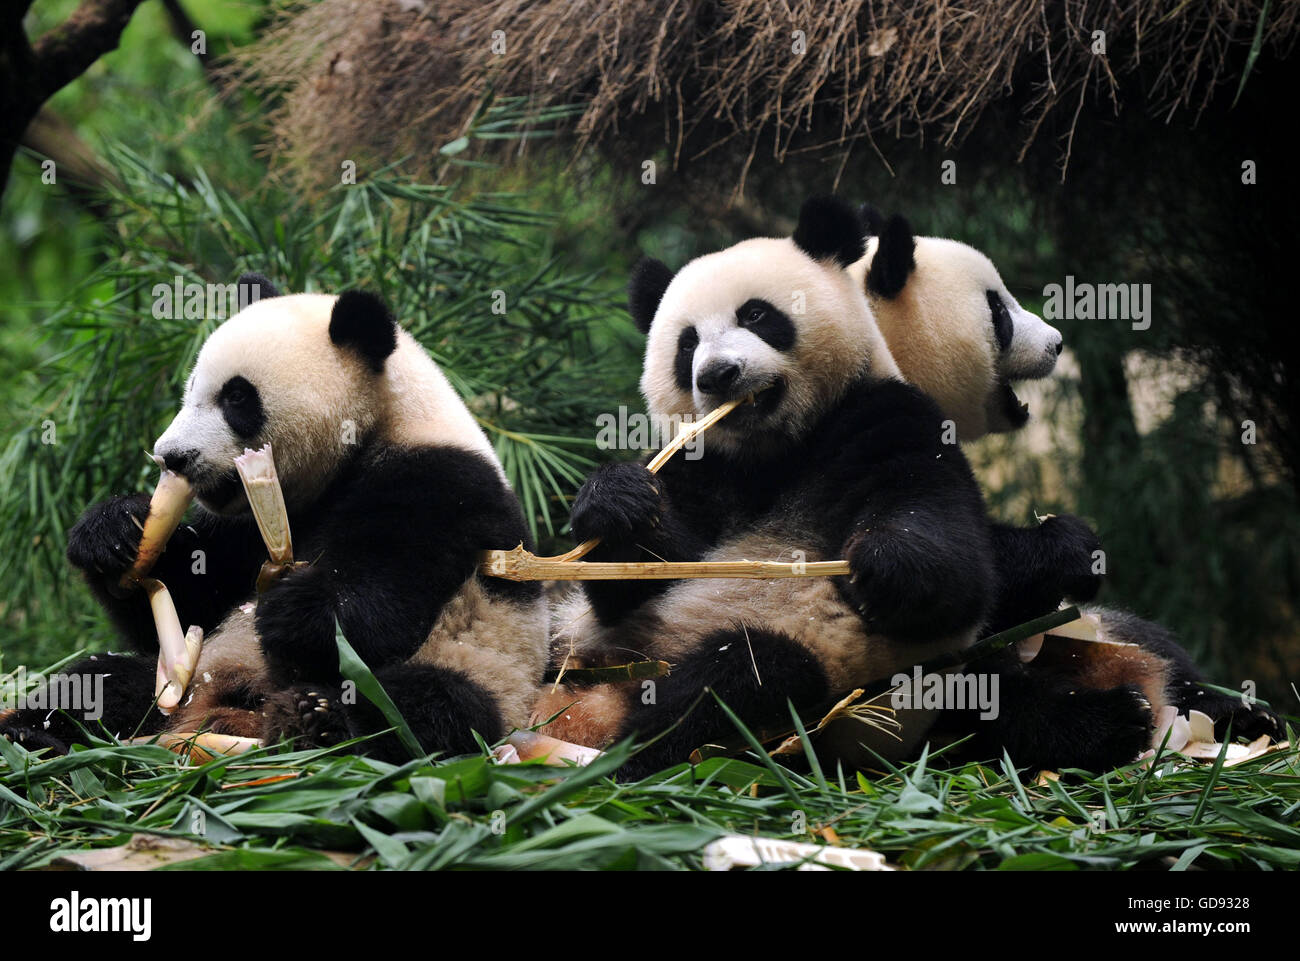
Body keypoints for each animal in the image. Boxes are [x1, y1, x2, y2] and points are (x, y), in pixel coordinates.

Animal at [0, 277, 548, 762]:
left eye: (237, 397)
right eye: (191, 388)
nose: (172, 457)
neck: (384, 422)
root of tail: (219, 712)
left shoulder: (442, 482)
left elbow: (386, 597)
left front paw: (295, 611)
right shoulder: (249, 525)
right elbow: (191, 598)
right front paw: (112, 532)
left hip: (487, 668)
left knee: (427, 706)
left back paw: (313, 719)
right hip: (180, 681)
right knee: (98, 681)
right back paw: (33, 736)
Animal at [535, 196, 998, 778]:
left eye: (755, 315)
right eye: (687, 343)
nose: (717, 375)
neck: (777, 450)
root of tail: (598, 699)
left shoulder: (886, 416)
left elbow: (956, 569)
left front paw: (881, 565)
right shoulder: (703, 466)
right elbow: (644, 576)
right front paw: (616, 502)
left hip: (822, 668)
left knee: (735, 678)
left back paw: (628, 758)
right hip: (571, 637)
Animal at [849, 208, 1284, 767]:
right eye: (998, 310)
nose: (1058, 342)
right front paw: (1072, 549)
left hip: (1101, 630)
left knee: (1151, 641)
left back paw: (1234, 712)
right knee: (988, 700)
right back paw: (1113, 721)